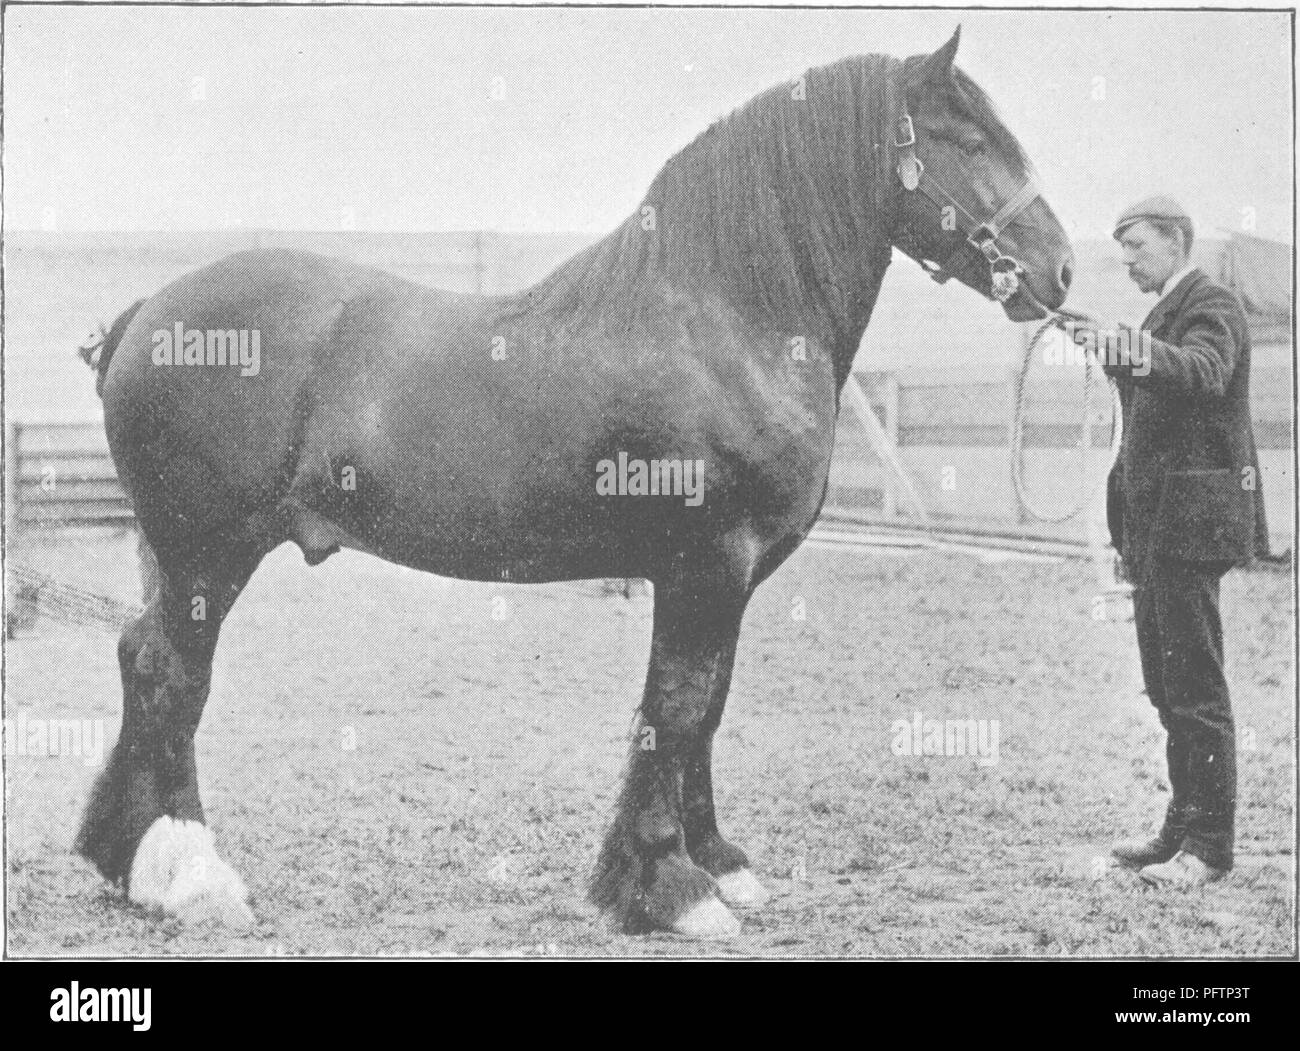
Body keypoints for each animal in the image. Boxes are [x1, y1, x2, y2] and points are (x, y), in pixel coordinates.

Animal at [75, 29, 1073, 939]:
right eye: (970, 139)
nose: (1060, 269)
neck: (719, 318)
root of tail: (148, 313)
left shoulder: (729, 577)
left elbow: (707, 707)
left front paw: (718, 864)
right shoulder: (704, 563)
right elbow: (678, 705)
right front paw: (672, 888)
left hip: (174, 556)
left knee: (139, 657)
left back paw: (126, 861)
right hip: (208, 555)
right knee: (172, 677)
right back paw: (195, 879)